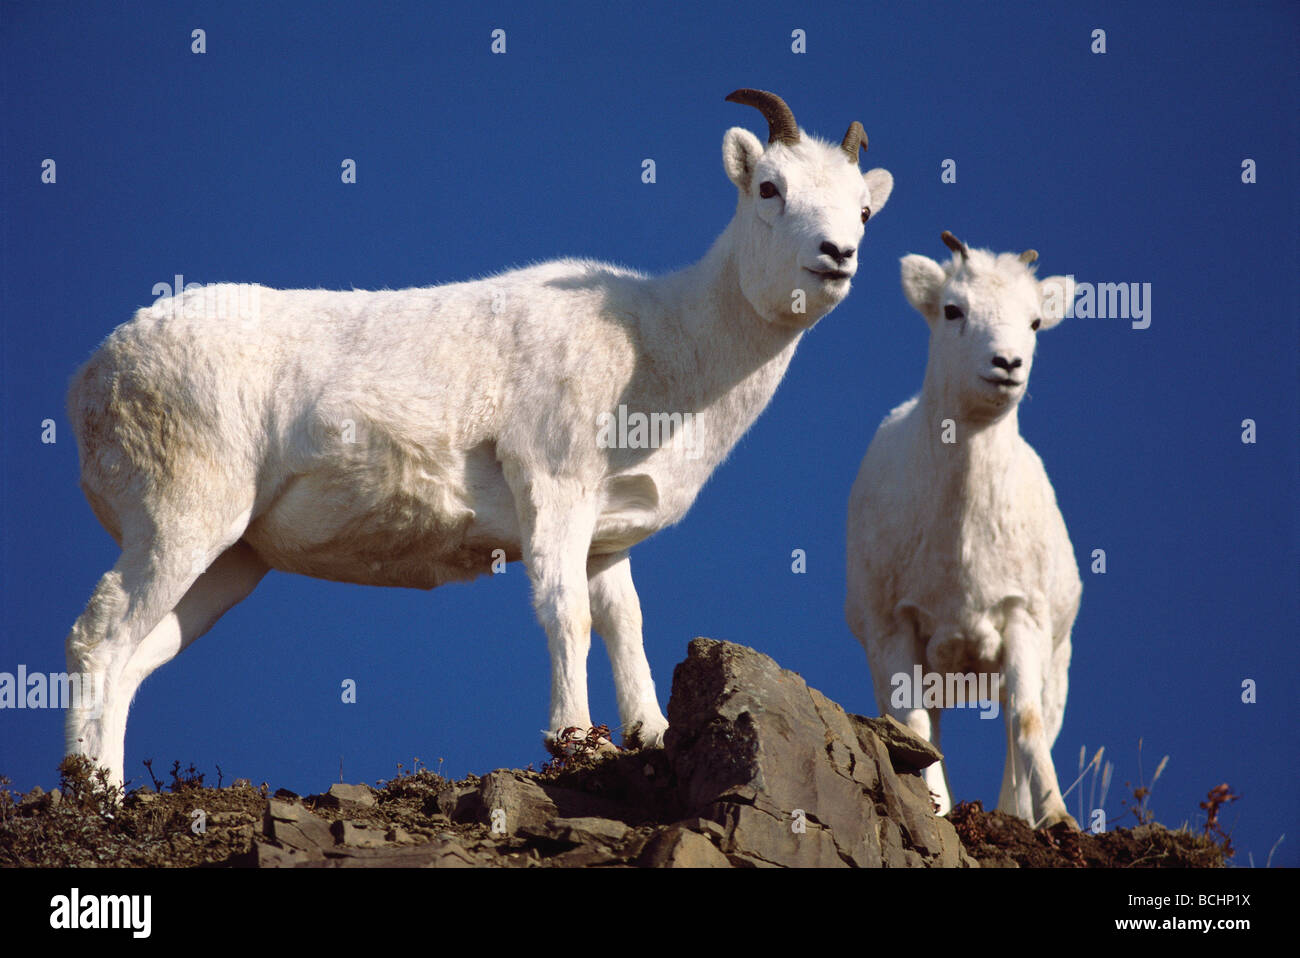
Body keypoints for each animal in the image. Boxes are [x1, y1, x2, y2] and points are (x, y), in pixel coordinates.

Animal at [65, 89, 894, 787]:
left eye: (863, 211)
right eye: (770, 189)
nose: (836, 257)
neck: (664, 349)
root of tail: (93, 376)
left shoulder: (608, 540)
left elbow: (623, 626)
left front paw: (651, 735)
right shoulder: (554, 489)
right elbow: (566, 614)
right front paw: (574, 741)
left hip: (232, 560)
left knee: (132, 663)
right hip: (183, 519)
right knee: (97, 640)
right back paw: (91, 798)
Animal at [845, 231, 1080, 829]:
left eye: (1034, 321)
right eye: (953, 310)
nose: (1007, 364)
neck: (961, 543)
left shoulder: (1023, 620)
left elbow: (1025, 722)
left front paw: (1057, 820)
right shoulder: (897, 631)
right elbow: (916, 730)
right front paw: (936, 811)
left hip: (1055, 668)